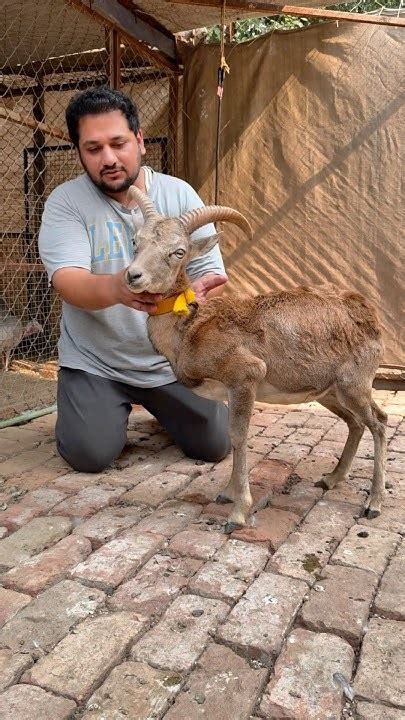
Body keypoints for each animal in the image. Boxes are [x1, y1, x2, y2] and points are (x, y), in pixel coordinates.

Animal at [125, 185, 387, 533]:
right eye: (136, 241)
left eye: (178, 251)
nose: (133, 275)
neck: (189, 331)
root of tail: (368, 314)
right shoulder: (228, 391)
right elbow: (233, 437)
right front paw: (226, 493)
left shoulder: (245, 376)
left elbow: (239, 436)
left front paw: (237, 514)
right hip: (329, 393)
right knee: (356, 424)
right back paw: (330, 479)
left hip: (355, 385)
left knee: (379, 423)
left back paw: (374, 504)